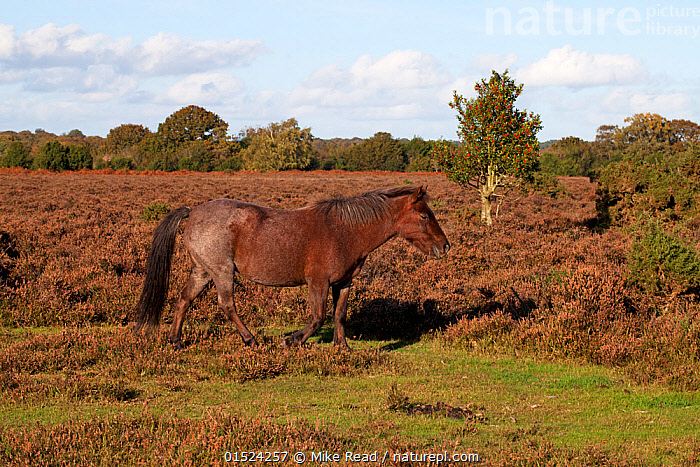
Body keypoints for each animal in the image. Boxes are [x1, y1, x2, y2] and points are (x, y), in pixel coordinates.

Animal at [134, 185, 450, 349]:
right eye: (424, 216)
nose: (445, 246)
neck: (345, 230)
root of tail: (193, 210)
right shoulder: (318, 282)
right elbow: (317, 318)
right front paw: (291, 340)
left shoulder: (344, 282)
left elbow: (339, 315)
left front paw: (343, 348)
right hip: (222, 271)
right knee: (227, 304)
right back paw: (250, 339)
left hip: (202, 271)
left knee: (183, 299)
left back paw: (175, 341)